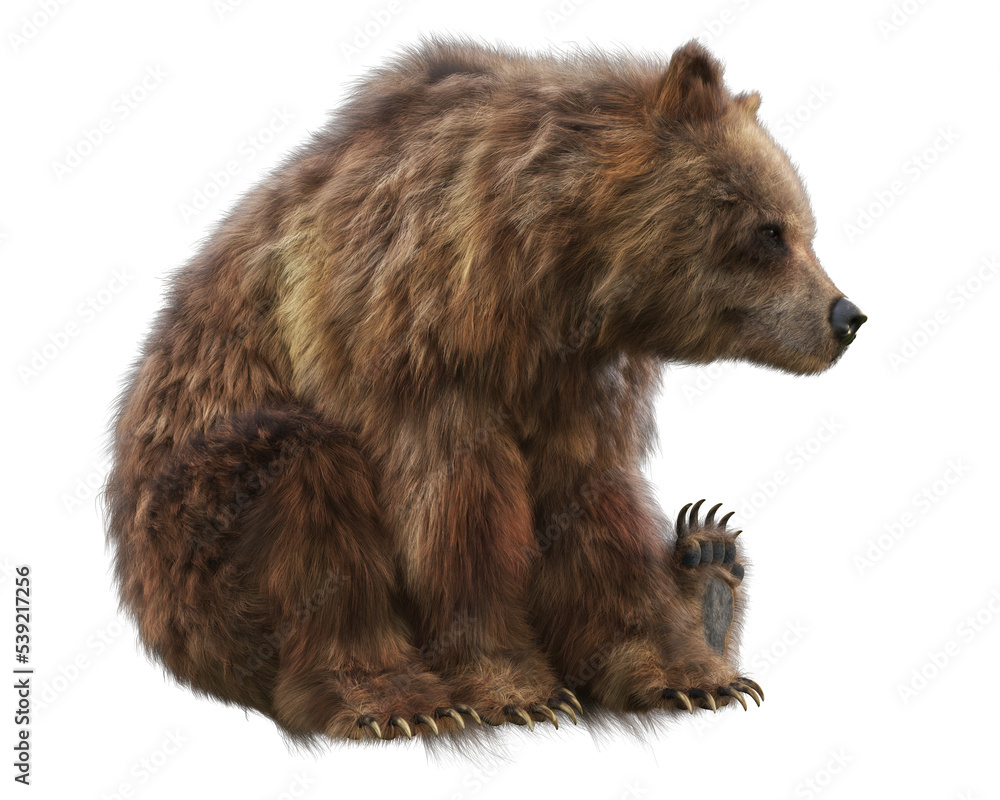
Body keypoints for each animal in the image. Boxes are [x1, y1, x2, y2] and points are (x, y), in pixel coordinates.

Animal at [104, 37, 866, 744]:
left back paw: (708, 570)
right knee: (310, 493)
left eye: (806, 227)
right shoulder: (413, 350)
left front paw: (685, 674)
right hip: (199, 523)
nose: (846, 317)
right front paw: (518, 690)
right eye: (770, 231)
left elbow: (593, 505)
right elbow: (459, 512)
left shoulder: (573, 383)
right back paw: (394, 700)